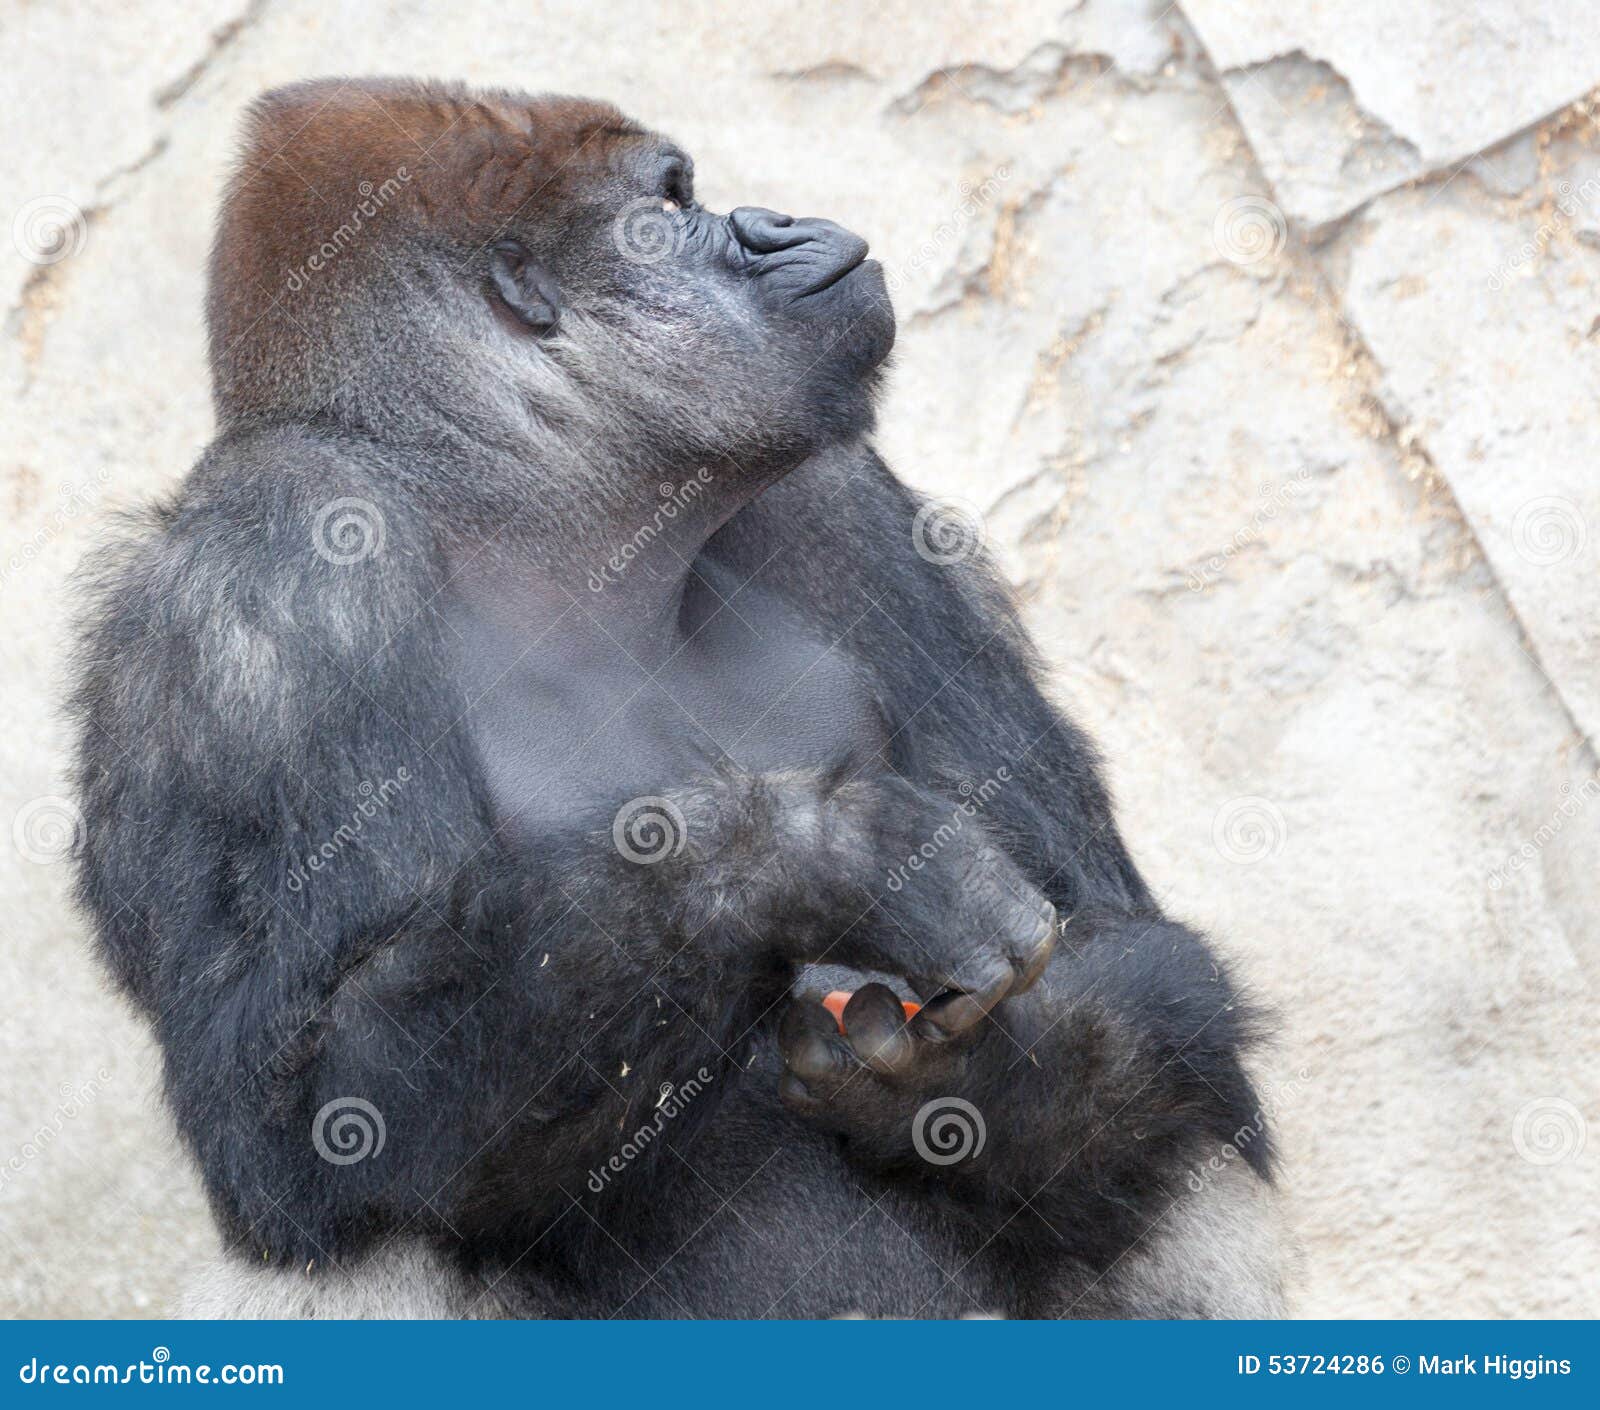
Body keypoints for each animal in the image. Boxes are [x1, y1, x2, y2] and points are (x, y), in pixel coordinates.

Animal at [69, 77, 1288, 1319]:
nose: (777, 220)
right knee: (360, 1234)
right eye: (674, 201)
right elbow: (301, 1106)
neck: (549, 527)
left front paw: (983, 1078)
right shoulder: (272, 556)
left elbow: (1117, 941)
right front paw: (816, 854)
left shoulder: (835, 499)